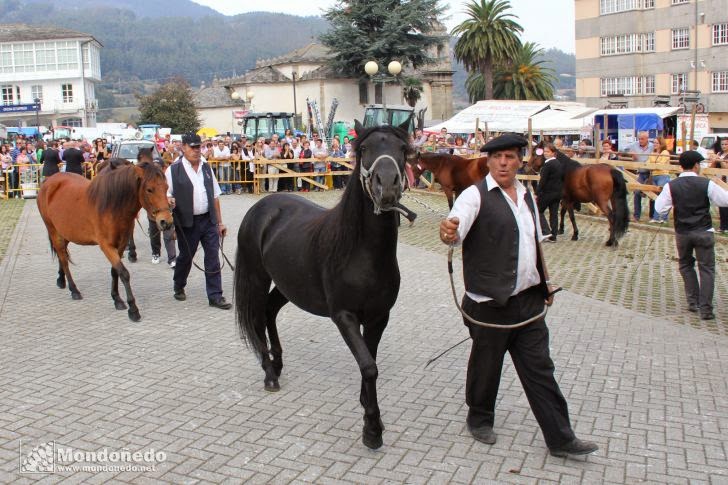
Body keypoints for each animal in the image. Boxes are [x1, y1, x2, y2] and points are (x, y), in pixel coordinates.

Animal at [36, 157, 173, 321]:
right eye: (149, 189)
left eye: (166, 187)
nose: (166, 222)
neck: (112, 207)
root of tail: (49, 182)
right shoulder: (106, 246)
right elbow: (124, 273)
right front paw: (133, 309)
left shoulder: (120, 245)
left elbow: (115, 271)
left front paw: (117, 299)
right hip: (53, 231)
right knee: (63, 259)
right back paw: (74, 290)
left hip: (66, 232)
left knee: (61, 254)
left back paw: (61, 280)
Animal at [234, 120, 412, 450]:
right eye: (364, 148)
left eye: (403, 148)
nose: (388, 186)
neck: (361, 252)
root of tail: (263, 205)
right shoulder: (344, 316)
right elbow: (369, 366)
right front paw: (372, 429)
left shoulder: (379, 317)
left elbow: (370, 361)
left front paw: (369, 410)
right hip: (256, 276)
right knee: (256, 318)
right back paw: (269, 373)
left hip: (289, 285)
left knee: (269, 311)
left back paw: (278, 363)